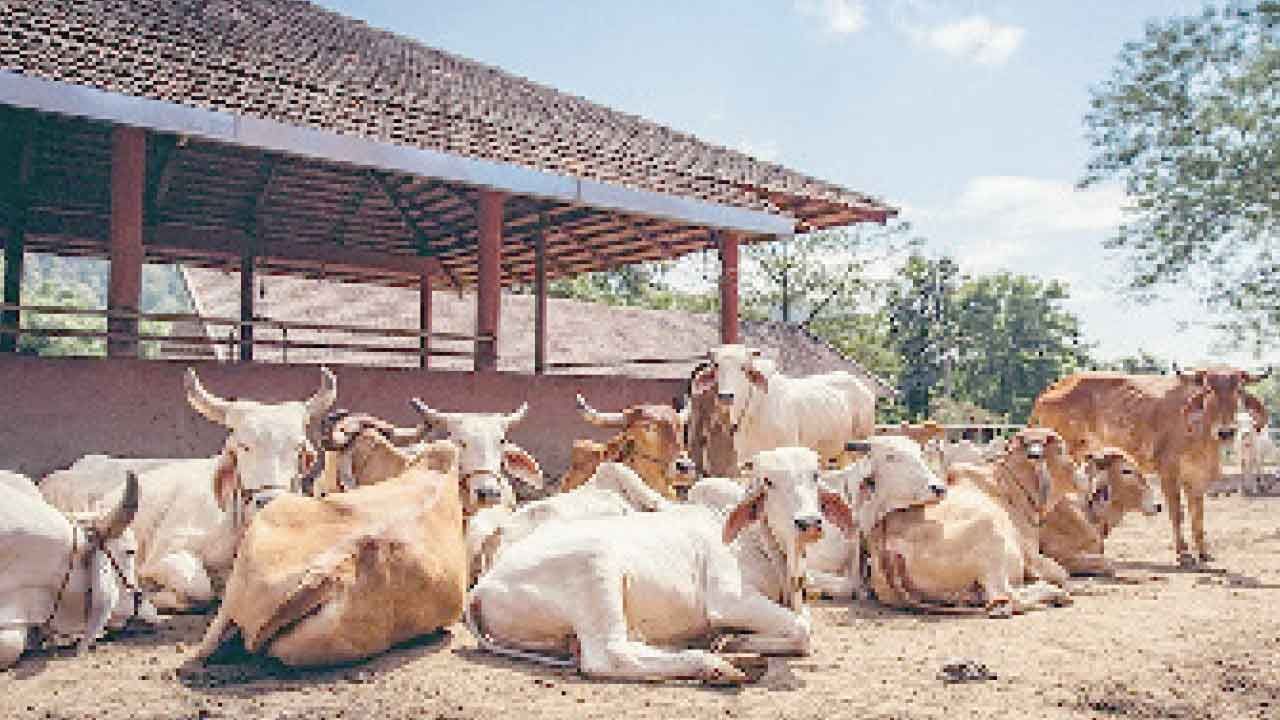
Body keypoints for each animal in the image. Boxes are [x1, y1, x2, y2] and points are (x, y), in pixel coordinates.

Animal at [38, 366, 337, 612]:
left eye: (297, 447)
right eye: (244, 445)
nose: (270, 501)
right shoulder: (166, 553)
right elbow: (198, 586)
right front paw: (157, 595)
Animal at [464, 446, 858, 684]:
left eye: (815, 476)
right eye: (769, 482)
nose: (809, 522)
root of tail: (483, 584)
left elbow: (802, 626)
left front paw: (733, 639)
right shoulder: (728, 599)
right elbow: (802, 630)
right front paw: (731, 642)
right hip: (595, 571)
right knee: (609, 656)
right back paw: (713, 665)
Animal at [690, 344, 876, 465]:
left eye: (744, 367)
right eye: (716, 365)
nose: (726, 396)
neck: (754, 411)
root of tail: (864, 389)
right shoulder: (746, 459)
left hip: (858, 448)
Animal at [863, 427, 1087, 617]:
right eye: (1062, 450)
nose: (1082, 477)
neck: (1009, 488)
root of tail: (887, 546)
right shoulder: (1031, 556)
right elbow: (1062, 573)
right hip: (991, 539)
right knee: (1004, 600)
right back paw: (1055, 594)